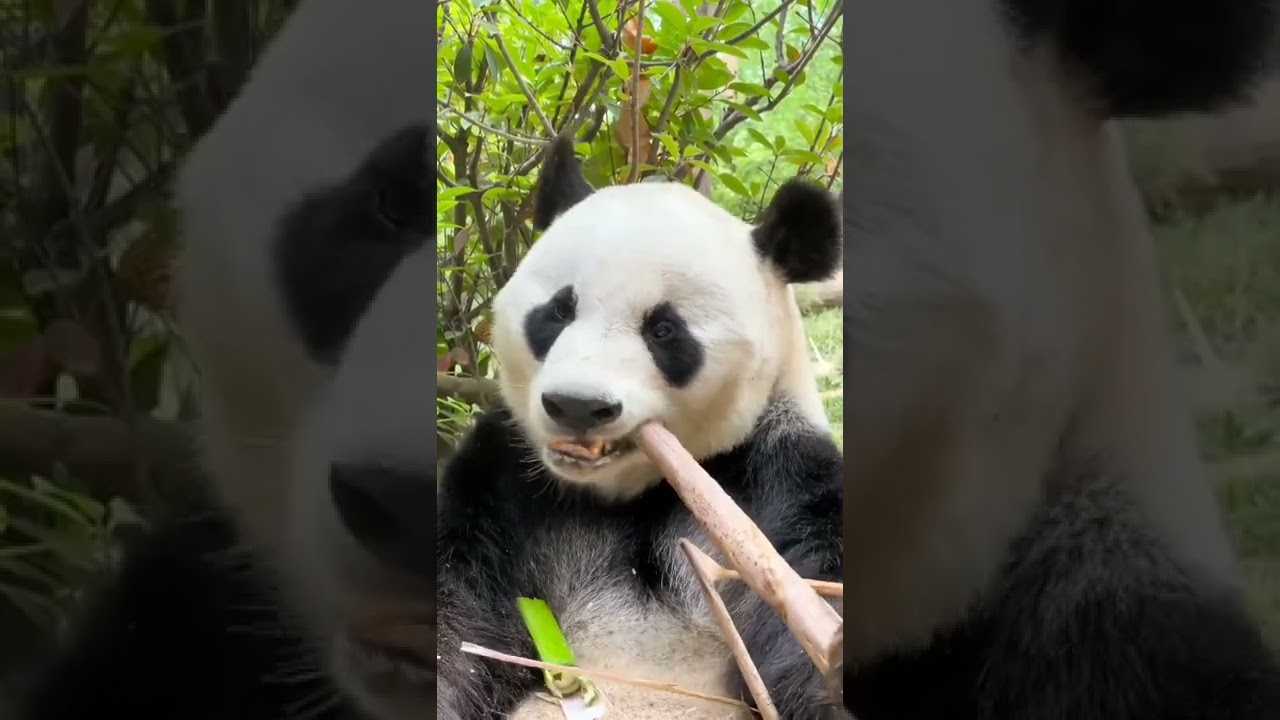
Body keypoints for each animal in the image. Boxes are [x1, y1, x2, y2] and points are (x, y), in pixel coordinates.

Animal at [433, 141, 845, 720]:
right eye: (558, 310)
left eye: (664, 330)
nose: (578, 405)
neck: (630, 498)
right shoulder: (501, 485)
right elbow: (457, 618)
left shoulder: (777, 482)